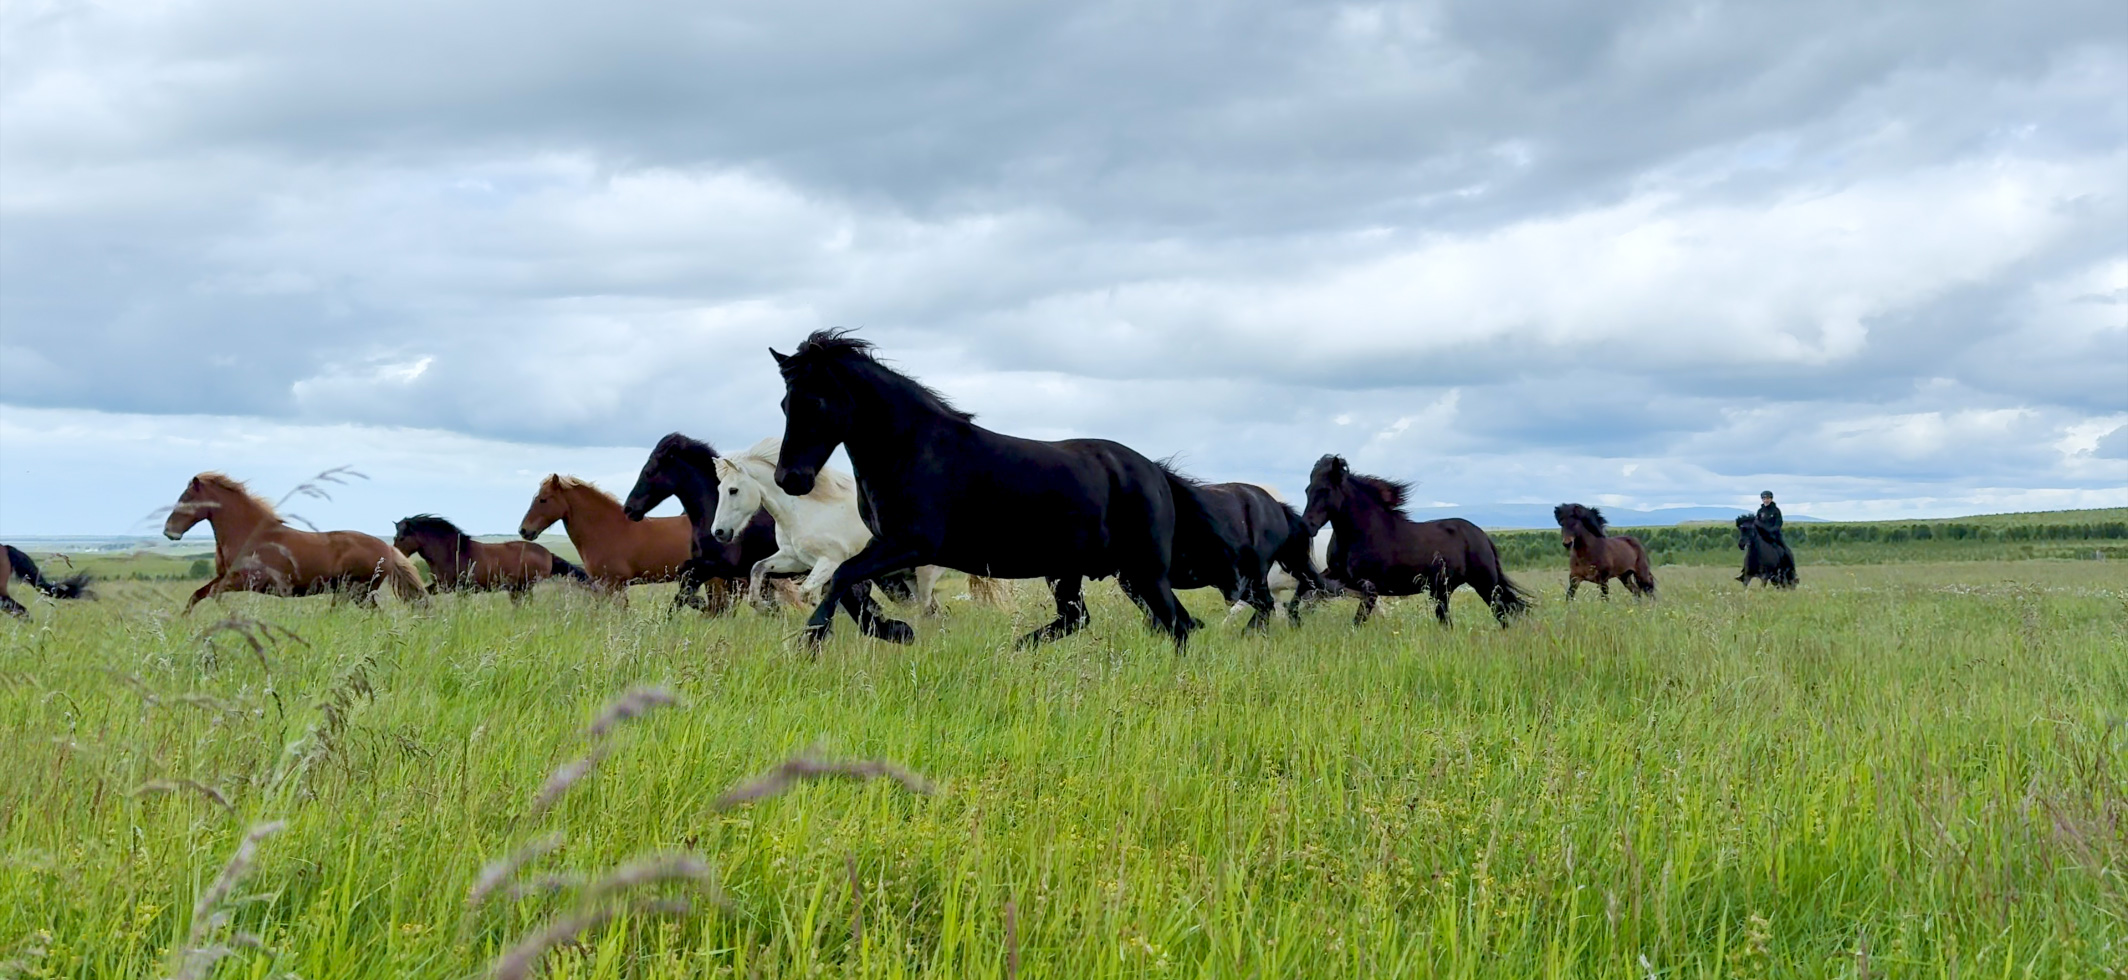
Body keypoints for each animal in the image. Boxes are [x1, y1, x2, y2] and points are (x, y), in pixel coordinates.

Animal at [162, 471, 427, 612]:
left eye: (186, 498)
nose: (169, 532)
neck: (247, 534)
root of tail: (388, 549)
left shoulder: (244, 580)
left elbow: (213, 595)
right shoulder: (224, 577)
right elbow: (198, 595)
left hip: (355, 591)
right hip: (353, 593)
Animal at [391, 516, 587, 599]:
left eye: (401, 538)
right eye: (394, 537)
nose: (394, 557)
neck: (451, 552)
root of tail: (548, 554)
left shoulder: (460, 587)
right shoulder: (442, 585)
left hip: (524, 587)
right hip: (517, 589)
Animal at [766, 329, 1217, 650]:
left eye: (816, 402)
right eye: (786, 405)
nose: (790, 479)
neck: (912, 449)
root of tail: (1154, 472)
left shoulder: (910, 544)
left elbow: (842, 577)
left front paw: (811, 641)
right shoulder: (885, 548)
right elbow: (845, 586)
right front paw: (894, 630)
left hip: (1144, 571)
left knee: (1176, 624)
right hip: (1090, 572)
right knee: (1088, 619)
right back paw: (1016, 649)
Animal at [1293, 452, 1532, 620]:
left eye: (1325, 490)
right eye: (1307, 490)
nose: (1306, 526)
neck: (1359, 534)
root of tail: (1482, 535)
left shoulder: (1369, 586)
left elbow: (1358, 620)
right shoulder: (1337, 574)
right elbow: (1303, 586)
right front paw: (1293, 618)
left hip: (1486, 584)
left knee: (1501, 613)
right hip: (1442, 591)